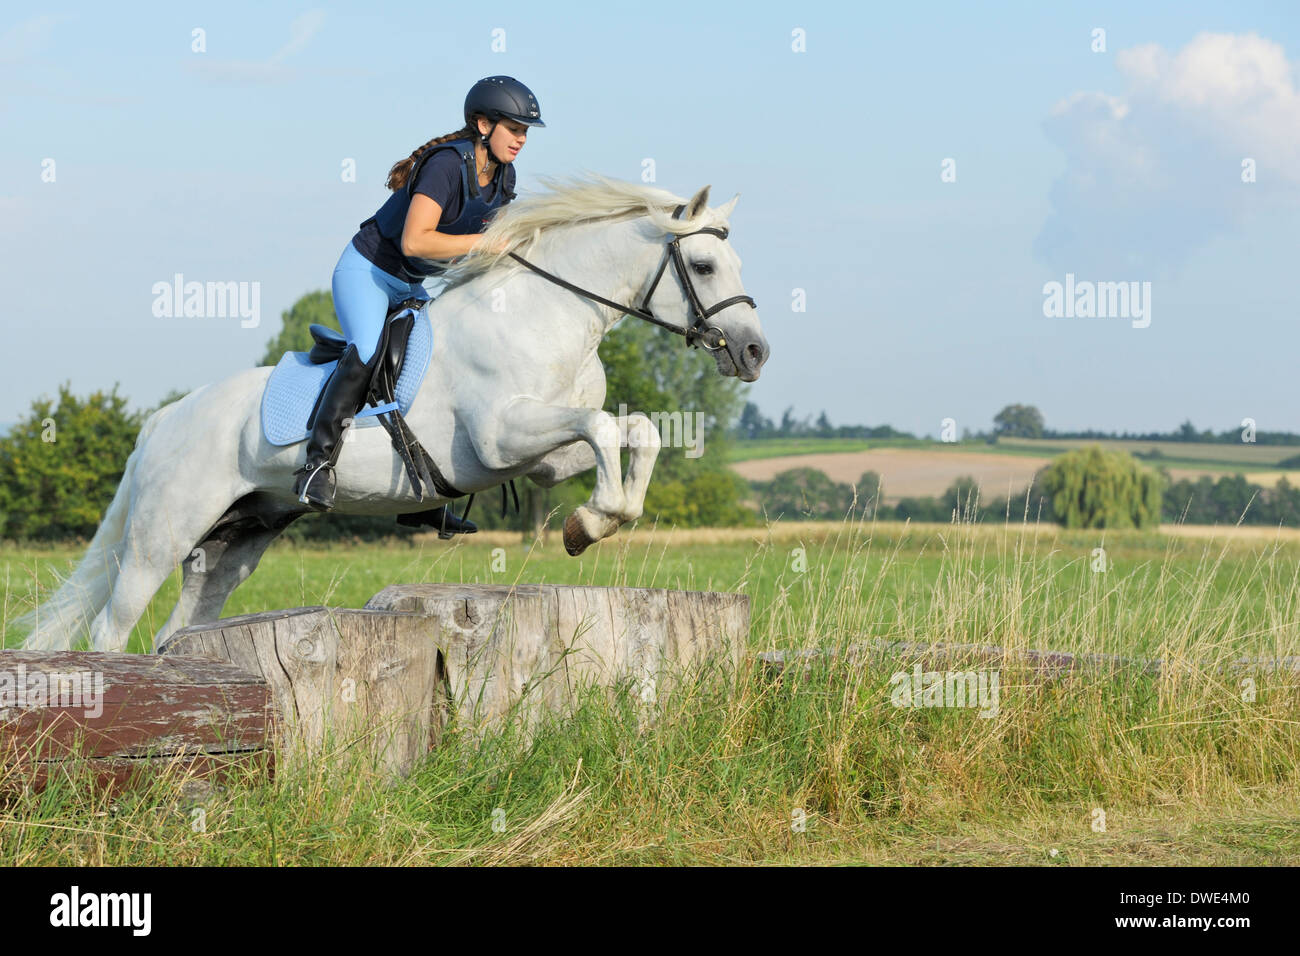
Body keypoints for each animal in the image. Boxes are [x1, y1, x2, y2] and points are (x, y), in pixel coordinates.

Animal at [15, 176, 769, 654]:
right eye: (704, 265)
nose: (755, 352)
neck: (549, 314)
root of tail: (162, 421)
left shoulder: (544, 455)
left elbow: (633, 429)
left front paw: (604, 517)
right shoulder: (502, 437)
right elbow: (608, 425)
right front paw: (592, 522)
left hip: (235, 539)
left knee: (186, 621)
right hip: (161, 534)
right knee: (113, 627)